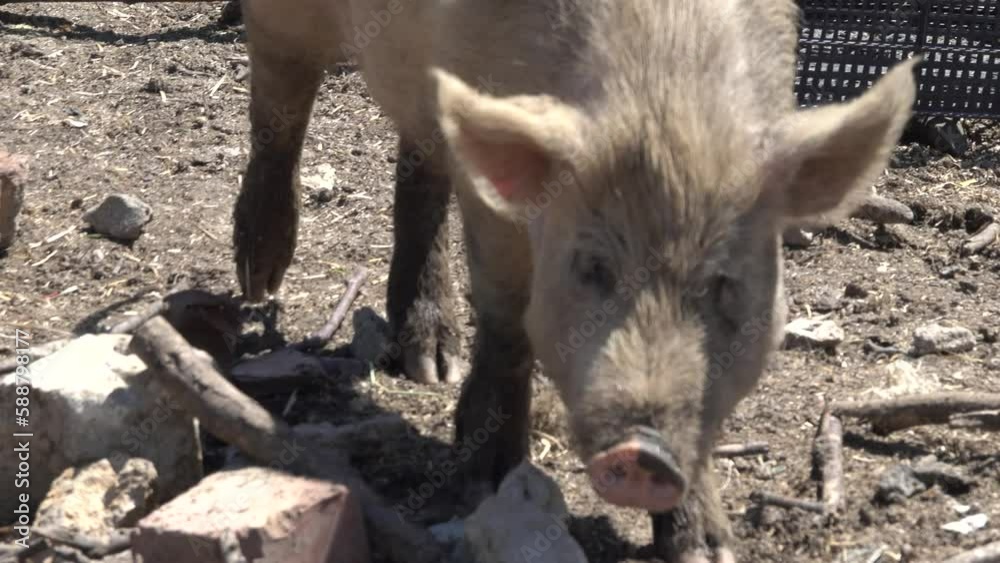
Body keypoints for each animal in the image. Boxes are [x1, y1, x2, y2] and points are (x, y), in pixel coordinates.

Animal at [232, 0, 918, 559]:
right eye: (593, 268)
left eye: (725, 283)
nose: (642, 454)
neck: (665, 101)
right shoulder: (499, 200)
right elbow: (507, 316)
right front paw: (486, 481)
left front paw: (706, 550)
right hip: (287, 26)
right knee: (278, 100)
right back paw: (260, 281)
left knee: (419, 163)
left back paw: (428, 363)